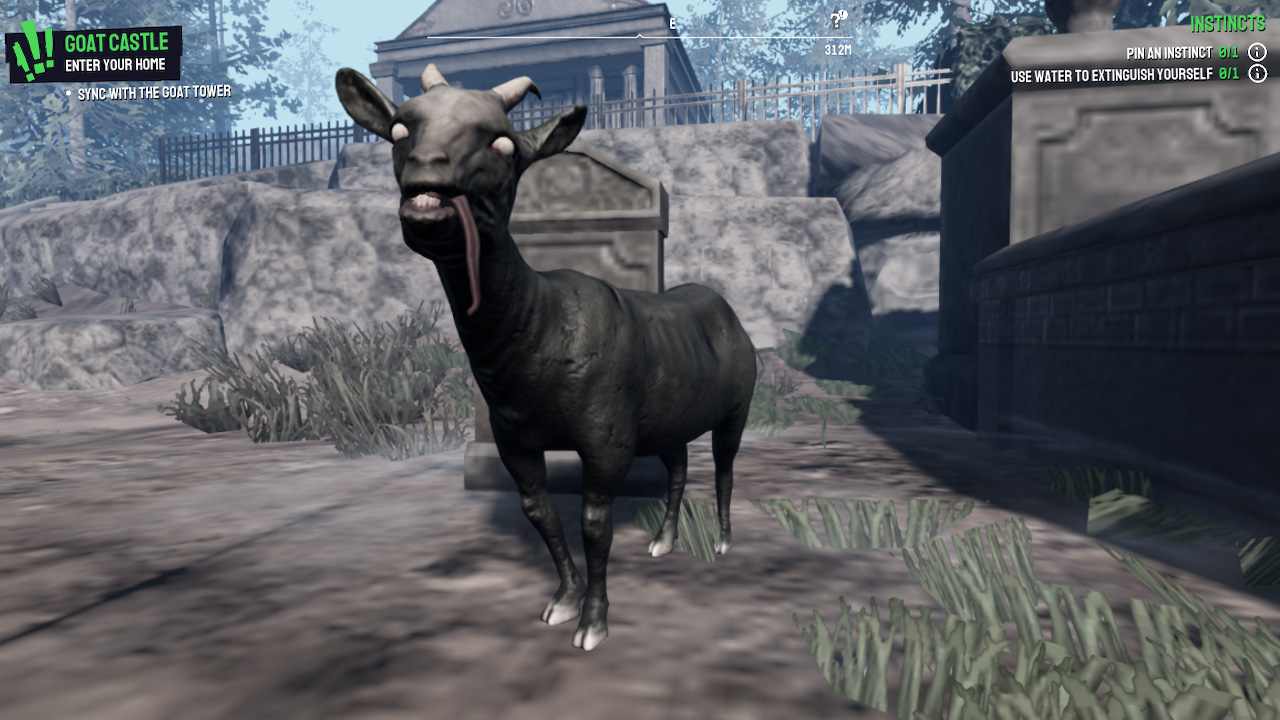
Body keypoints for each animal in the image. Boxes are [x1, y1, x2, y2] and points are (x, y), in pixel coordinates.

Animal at [335, 64, 757, 652]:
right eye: (399, 131)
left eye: (503, 142)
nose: (428, 186)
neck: (538, 336)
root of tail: (729, 313)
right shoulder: (516, 441)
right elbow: (539, 513)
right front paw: (562, 600)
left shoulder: (605, 441)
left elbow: (594, 523)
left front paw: (594, 623)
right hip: (668, 416)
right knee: (678, 466)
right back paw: (663, 541)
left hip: (736, 408)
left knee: (723, 467)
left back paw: (721, 542)